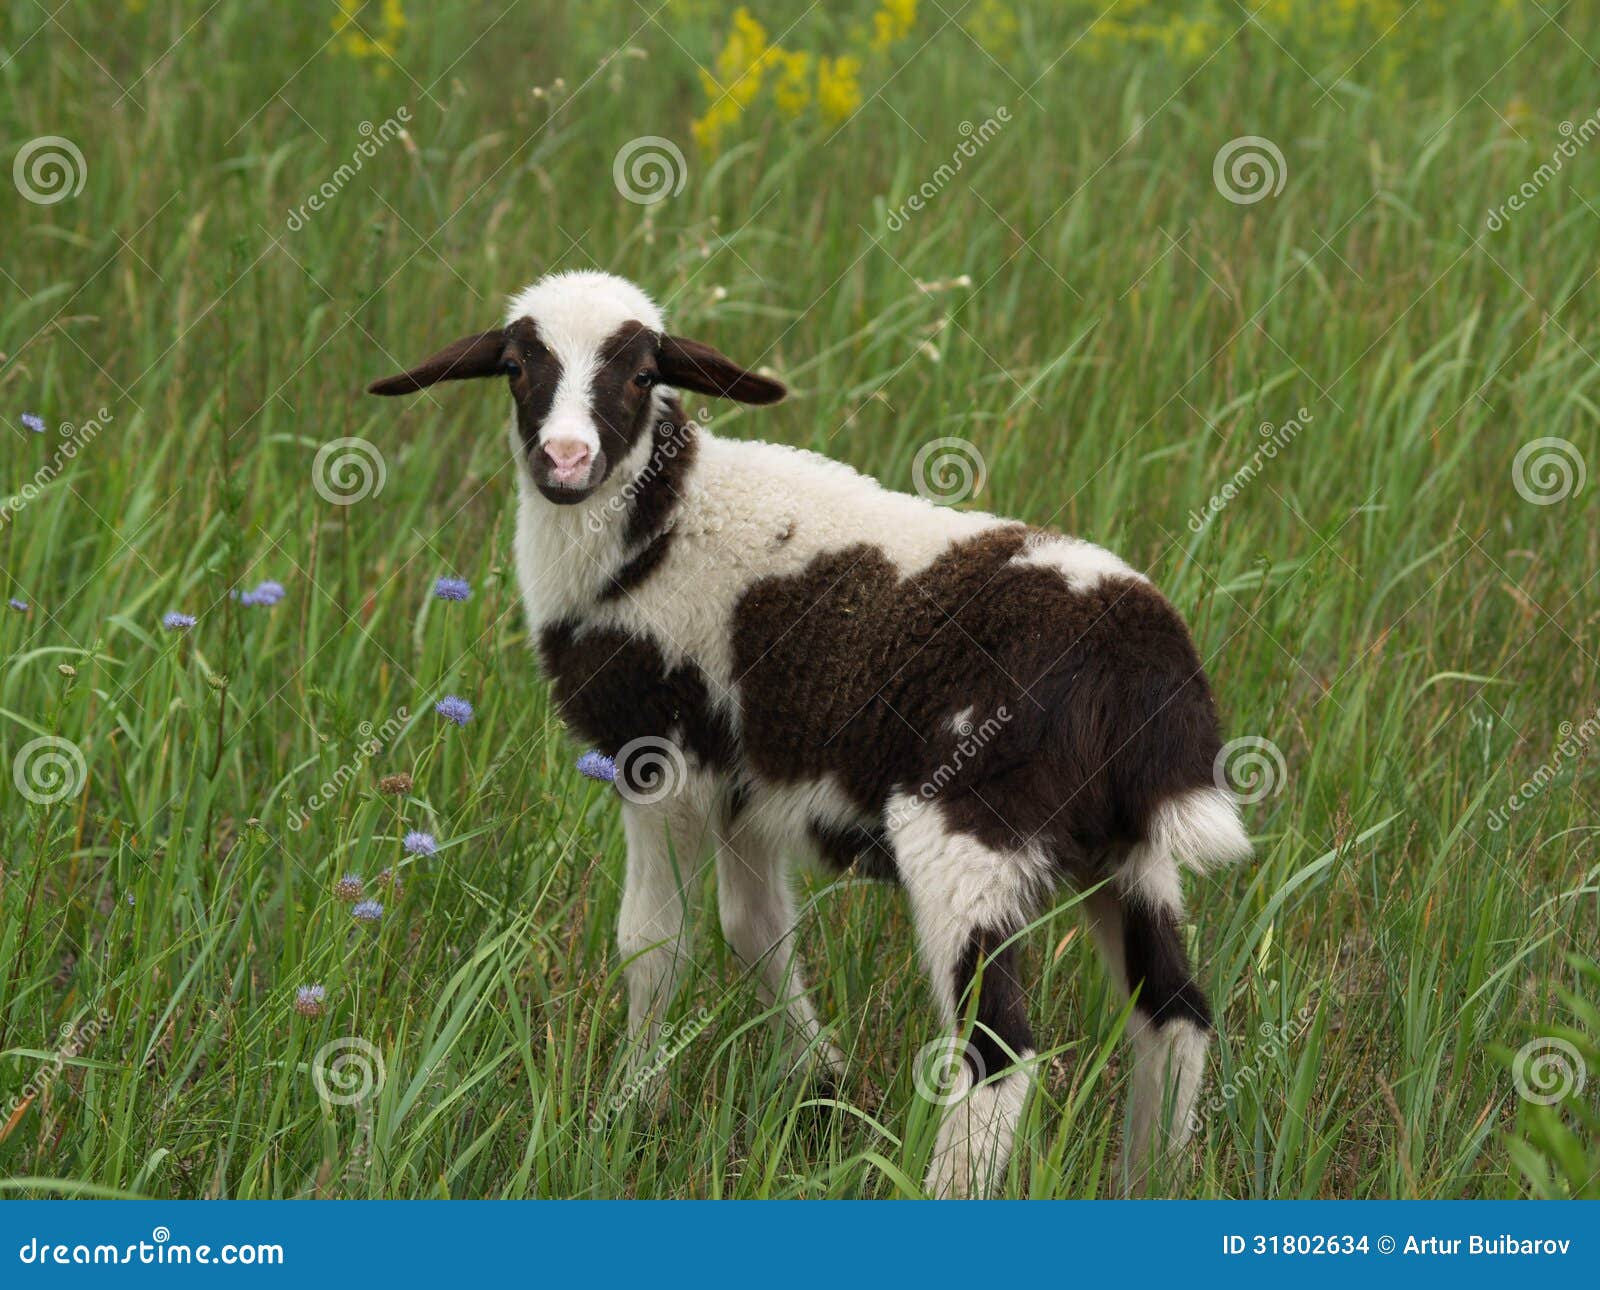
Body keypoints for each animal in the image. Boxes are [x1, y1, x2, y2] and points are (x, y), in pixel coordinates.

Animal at [367, 269, 1253, 1197]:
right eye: (514, 367)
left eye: (643, 374)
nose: (566, 461)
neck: (658, 521)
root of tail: (1146, 668)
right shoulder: (750, 783)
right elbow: (754, 928)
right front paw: (818, 1083)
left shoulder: (659, 757)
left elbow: (654, 944)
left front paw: (629, 1114)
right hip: (1128, 847)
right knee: (1176, 1016)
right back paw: (1153, 1177)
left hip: (967, 830)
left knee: (999, 1051)